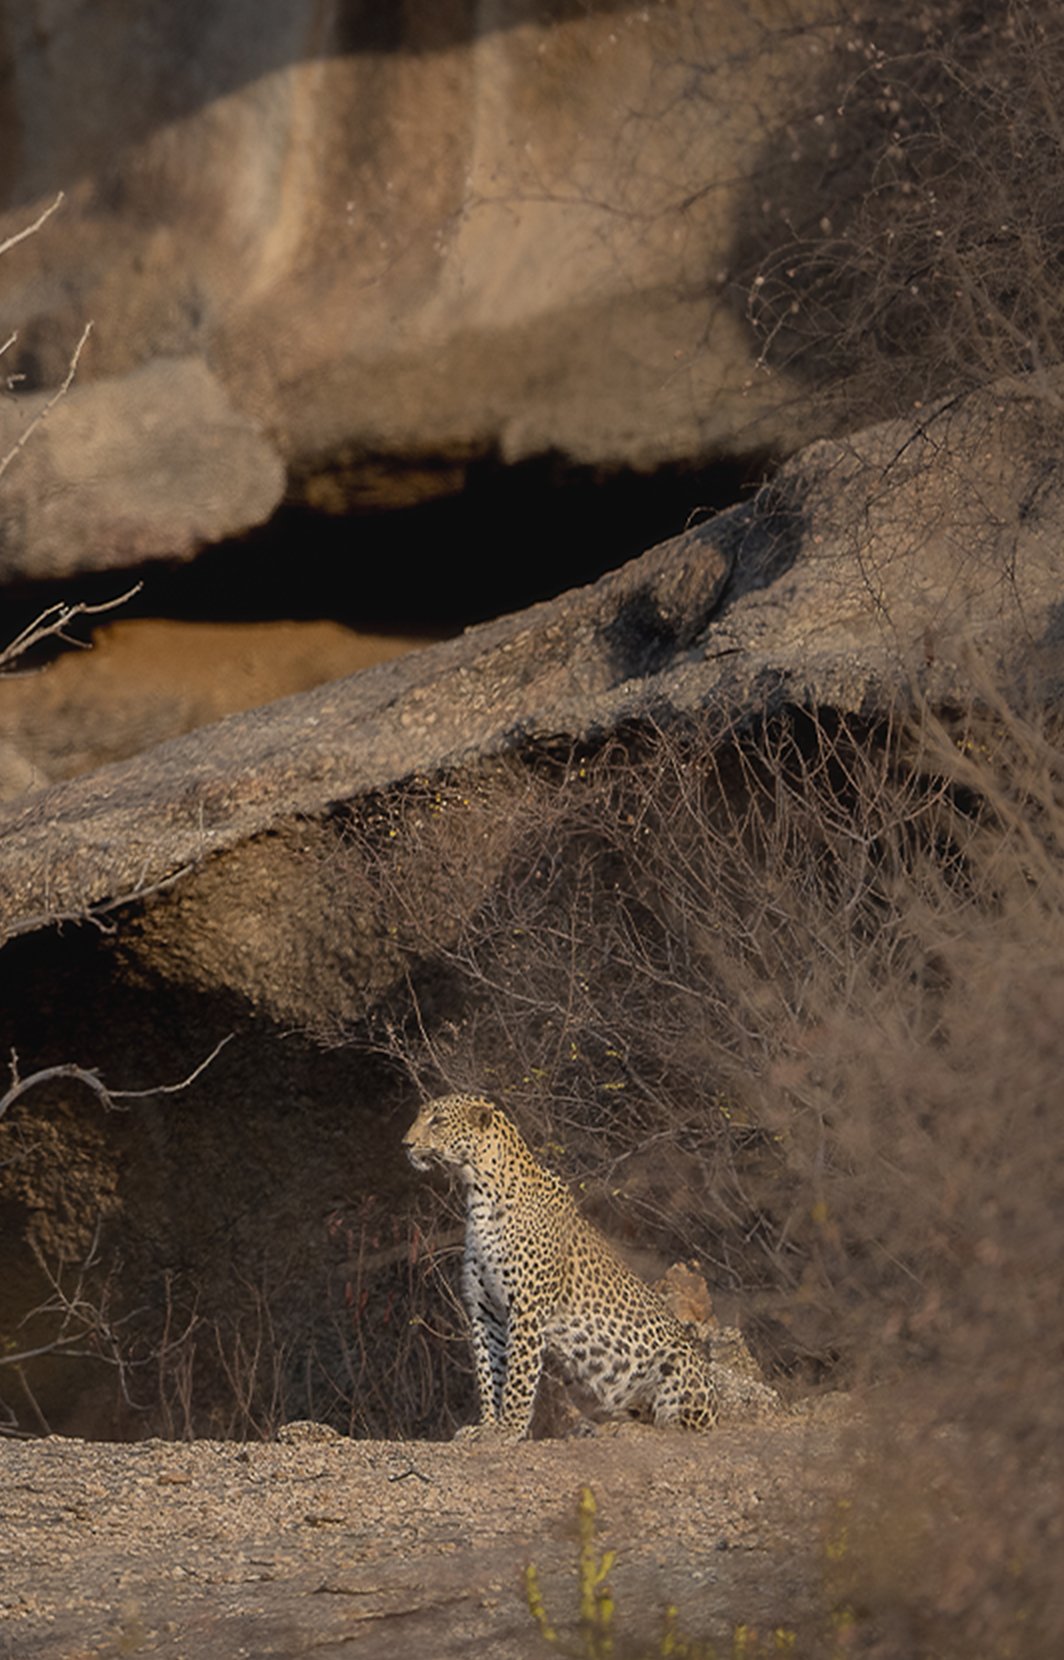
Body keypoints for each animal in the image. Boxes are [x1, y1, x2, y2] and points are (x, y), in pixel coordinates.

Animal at [403, 1093, 719, 1442]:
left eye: (438, 1121)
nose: (406, 1144)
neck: (479, 1194)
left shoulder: (527, 1309)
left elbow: (518, 1375)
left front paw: (509, 1427)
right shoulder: (486, 1311)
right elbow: (490, 1372)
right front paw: (487, 1424)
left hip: (677, 1360)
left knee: (679, 1426)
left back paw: (628, 1430)